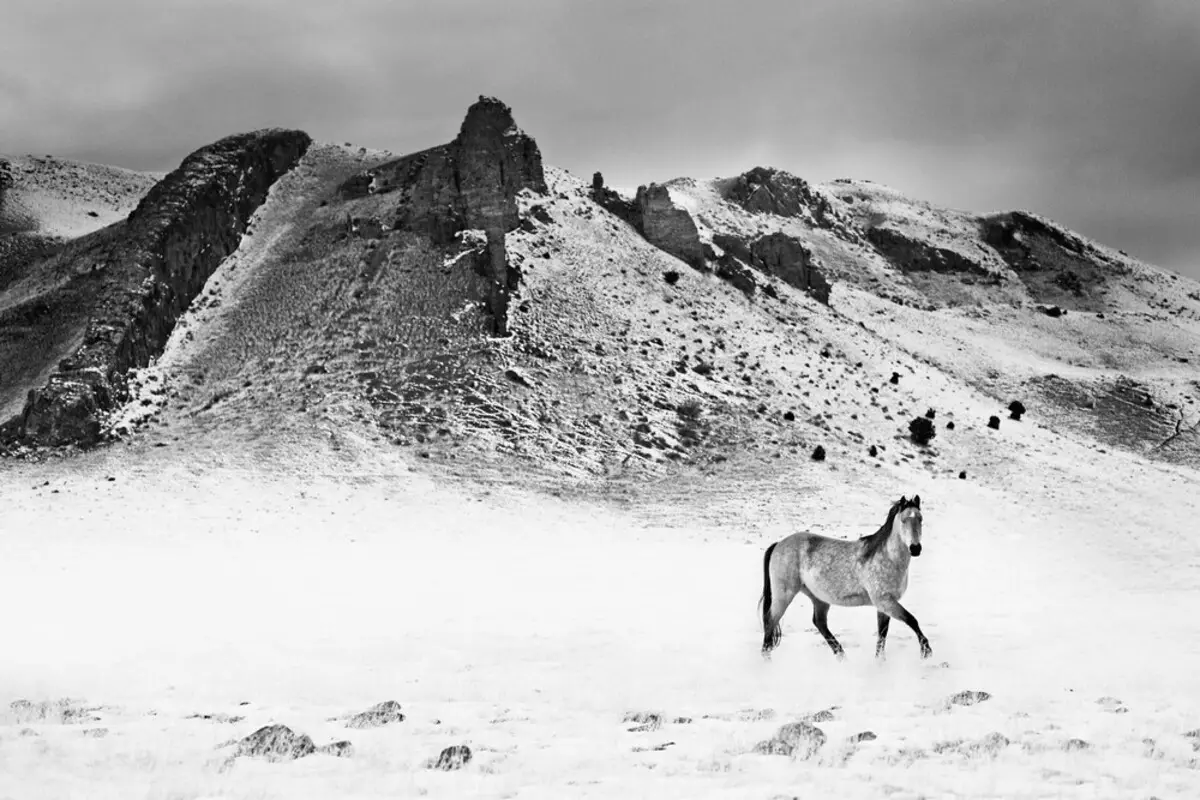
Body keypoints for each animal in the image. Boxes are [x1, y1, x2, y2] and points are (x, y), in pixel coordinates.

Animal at [758, 496, 926, 662]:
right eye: (903, 520)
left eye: (920, 519)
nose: (915, 548)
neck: (886, 558)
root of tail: (778, 544)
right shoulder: (885, 601)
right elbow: (911, 619)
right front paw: (926, 651)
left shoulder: (884, 605)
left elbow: (882, 635)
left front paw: (880, 662)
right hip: (784, 595)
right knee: (770, 622)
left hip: (819, 598)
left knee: (819, 623)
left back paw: (842, 656)